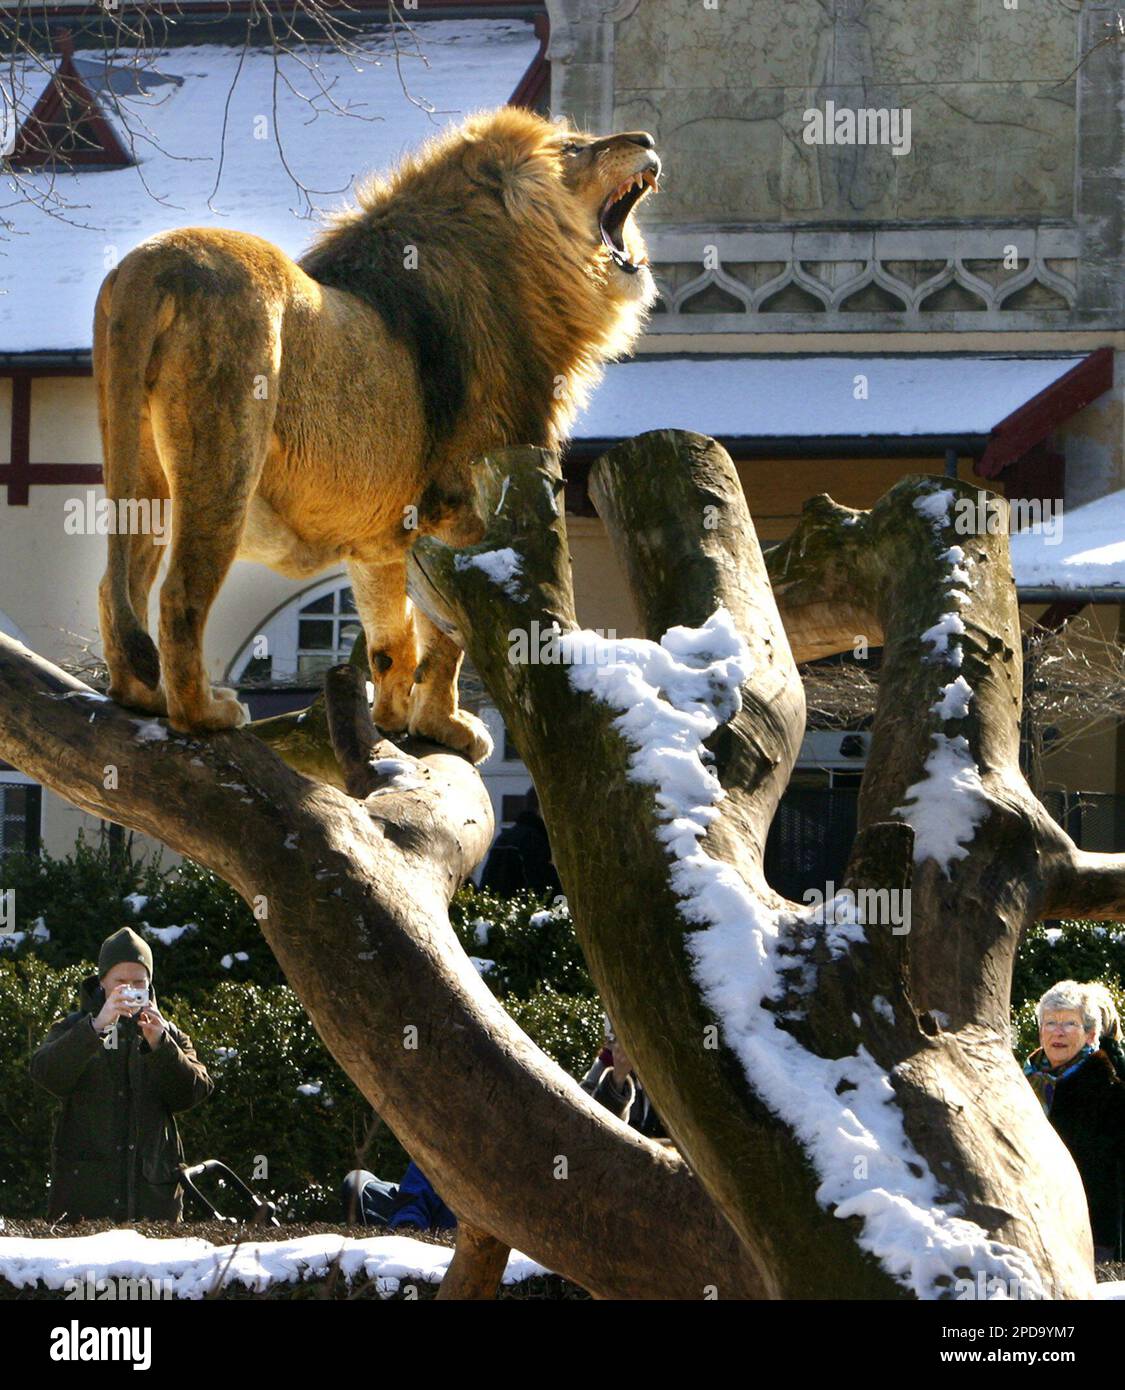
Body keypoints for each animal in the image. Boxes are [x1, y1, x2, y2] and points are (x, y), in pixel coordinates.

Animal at [94, 105, 660, 761]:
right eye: (573, 148)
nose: (646, 138)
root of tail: (152, 262)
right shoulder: (464, 511)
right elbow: (446, 640)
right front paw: (444, 726)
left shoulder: (381, 539)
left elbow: (392, 638)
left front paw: (390, 721)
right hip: (224, 457)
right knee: (179, 597)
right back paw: (203, 713)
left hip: (139, 469)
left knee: (117, 586)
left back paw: (142, 696)